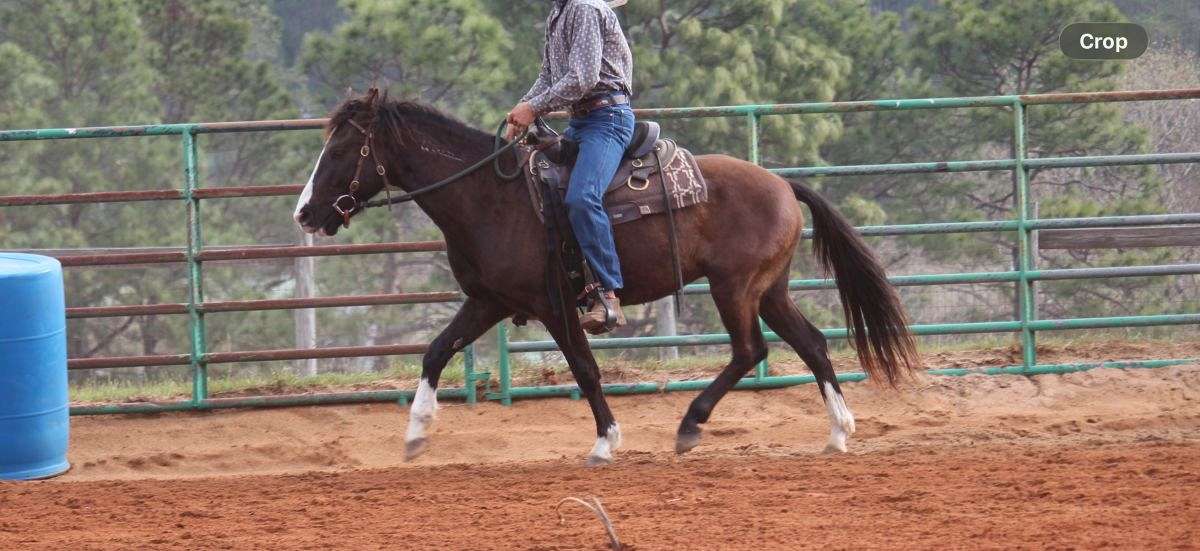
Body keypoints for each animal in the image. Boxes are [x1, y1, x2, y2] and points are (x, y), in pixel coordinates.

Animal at [293, 89, 919, 466]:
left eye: (342, 147)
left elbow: (586, 369)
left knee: (749, 350)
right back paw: (839, 430)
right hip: (770, 290)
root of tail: (783, 184)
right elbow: (435, 351)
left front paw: (605, 442)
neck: (490, 197)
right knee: (811, 344)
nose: (304, 212)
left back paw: (690, 425)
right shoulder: (488, 302)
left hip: (735, 288)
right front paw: (416, 433)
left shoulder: (553, 305)